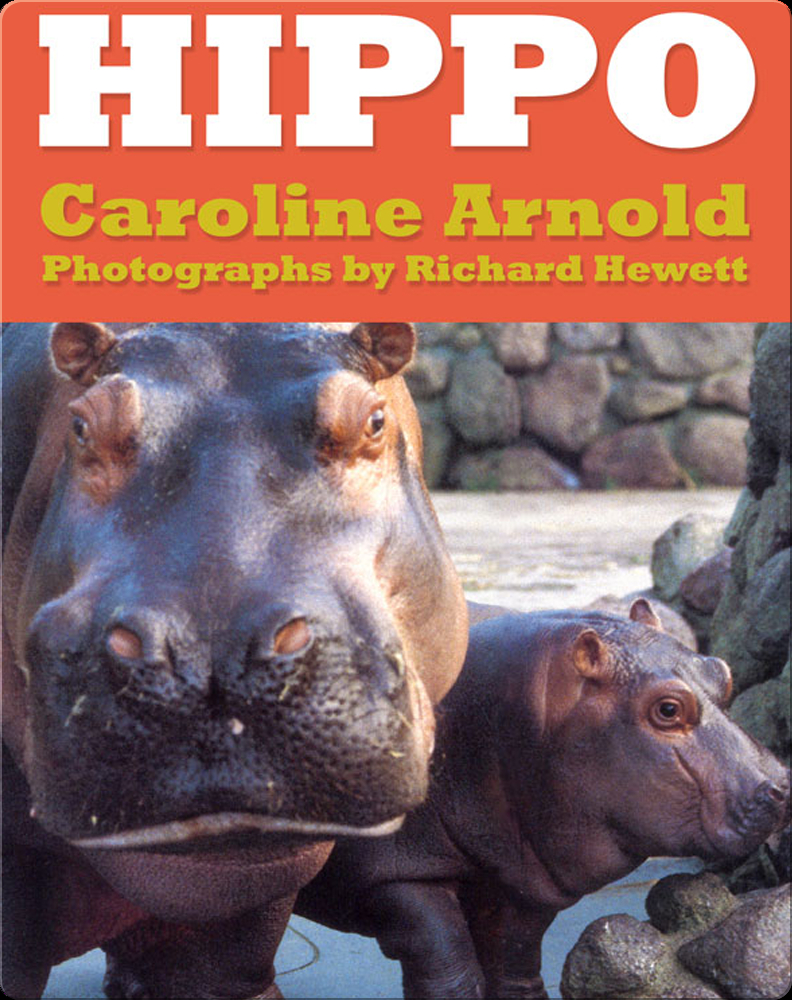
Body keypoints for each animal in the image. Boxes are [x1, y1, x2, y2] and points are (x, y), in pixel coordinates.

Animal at [296, 599, 791, 999]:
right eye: (667, 709)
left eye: (721, 672)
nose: (782, 785)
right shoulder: (396, 879)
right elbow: (449, 971)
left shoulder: (523, 884)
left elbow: (515, 969)